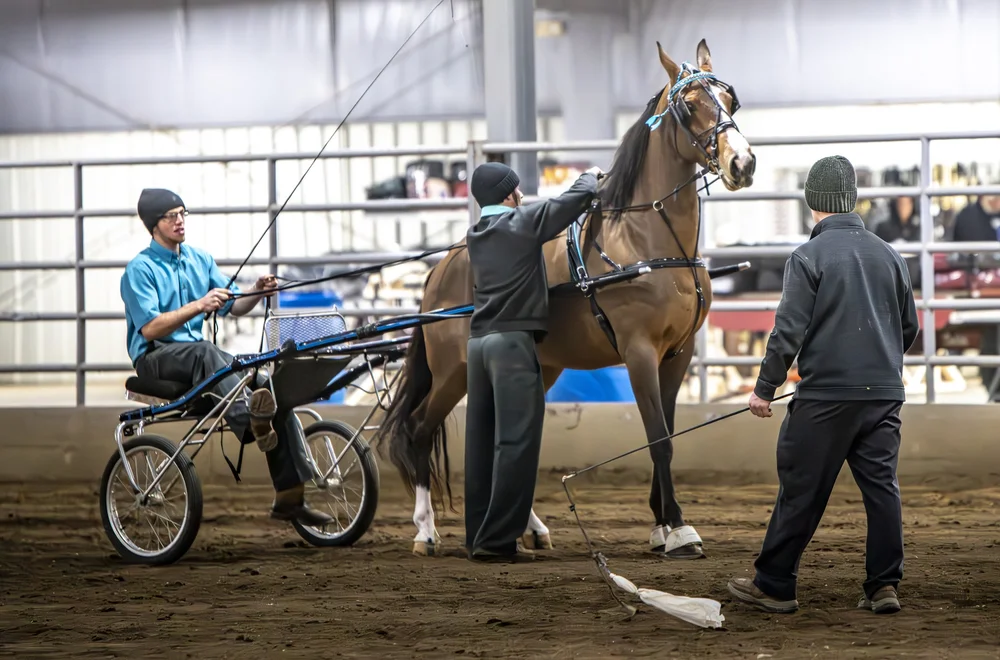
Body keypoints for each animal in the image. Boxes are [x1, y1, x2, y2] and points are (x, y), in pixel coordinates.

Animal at [372, 39, 755, 559]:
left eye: (730, 100)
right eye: (690, 105)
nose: (743, 163)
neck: (646, 241)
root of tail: (447, 262)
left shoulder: (678, 354)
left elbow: (669, 434)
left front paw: (661, 526)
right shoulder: (638, 352)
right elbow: (658, 439)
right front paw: (678, 530)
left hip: (542, 366)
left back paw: (529, 527)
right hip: (454, 370)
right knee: (417, 430)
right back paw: (426, 531)